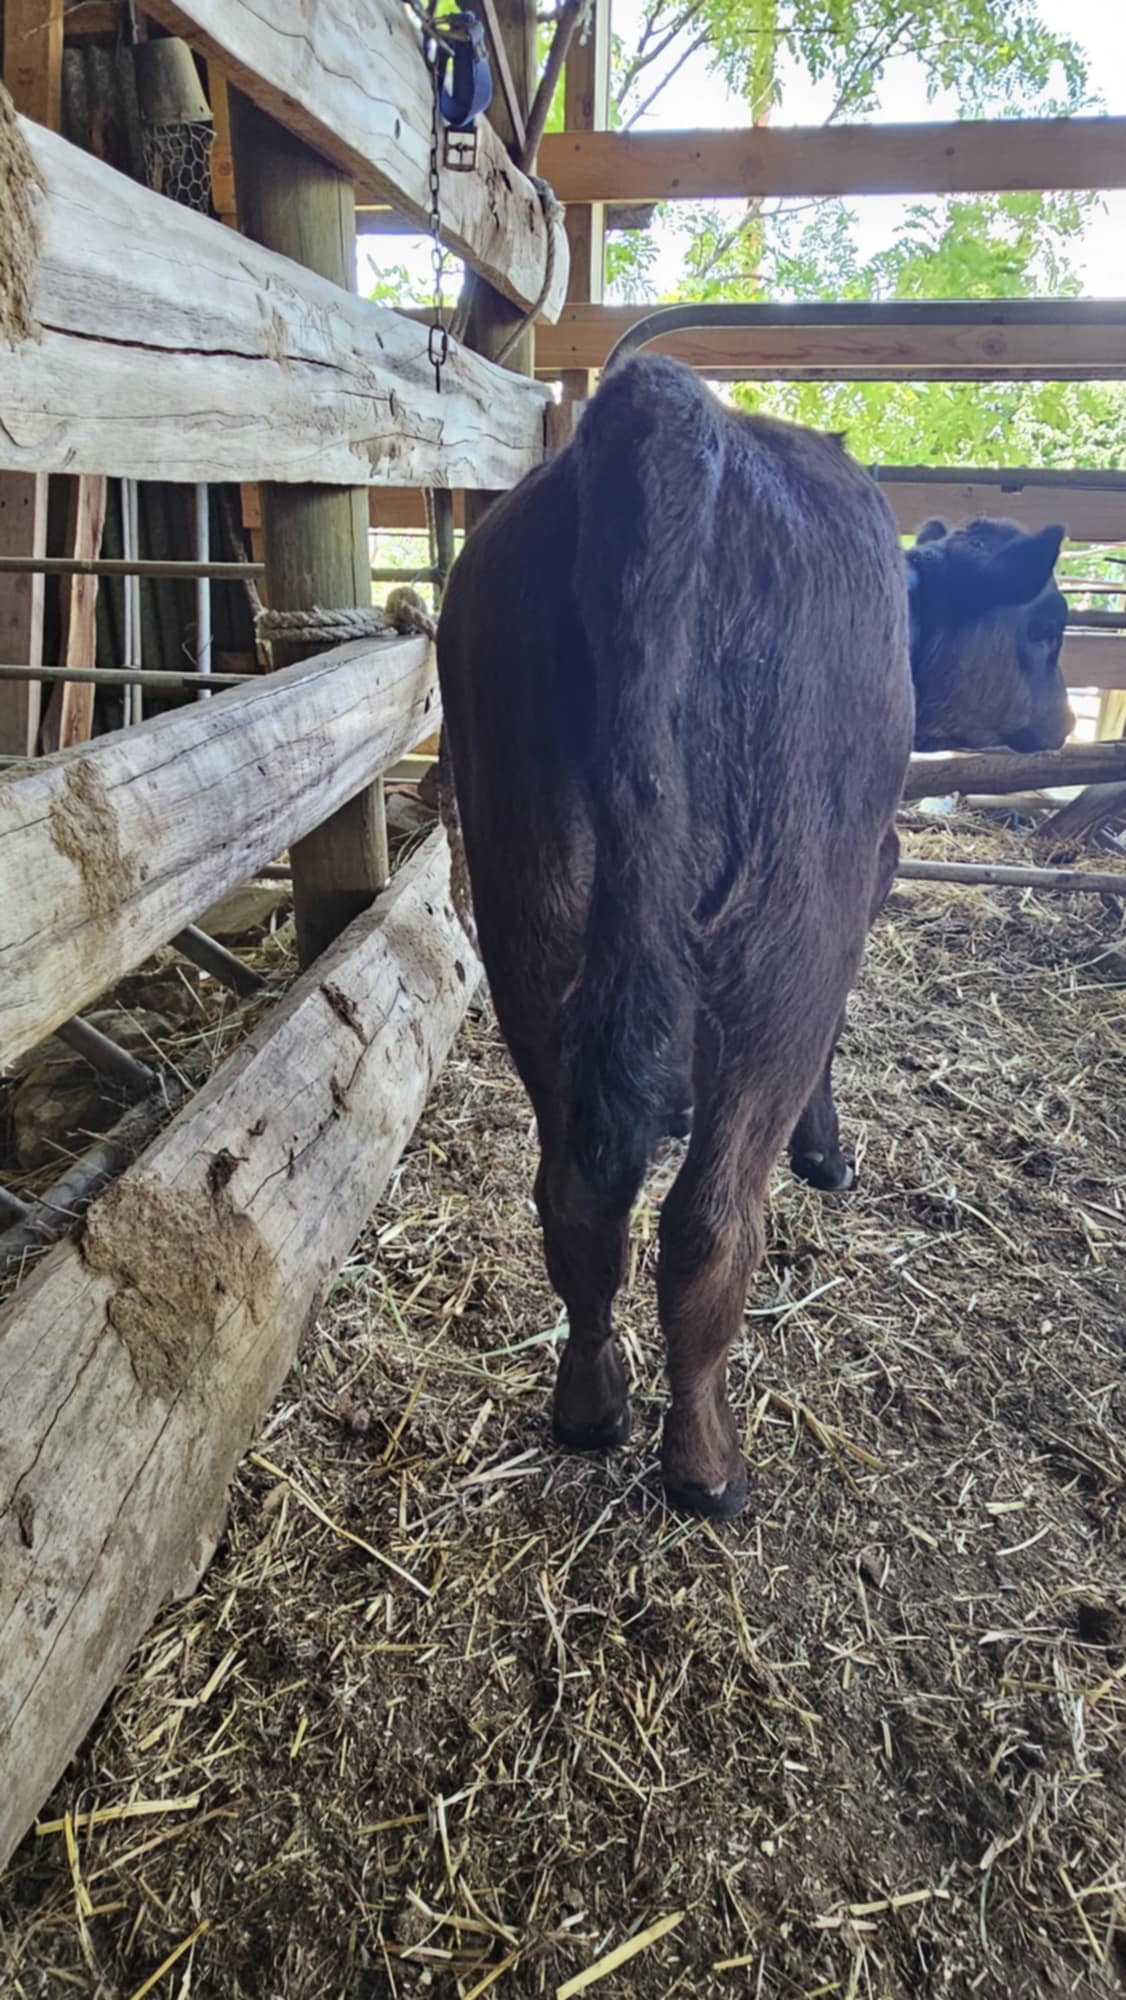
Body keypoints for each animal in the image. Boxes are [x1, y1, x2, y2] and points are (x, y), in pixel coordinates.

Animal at [437, 355, 1068, 1519]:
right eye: (1047, 625)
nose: (1057, 724)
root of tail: (662, 405)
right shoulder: (871, 865)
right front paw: (826, 1148)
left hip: (525, 900)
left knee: (576, 1186)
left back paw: (589, 1405)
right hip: (787, 917)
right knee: (708, 1218)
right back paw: (707, 1461)